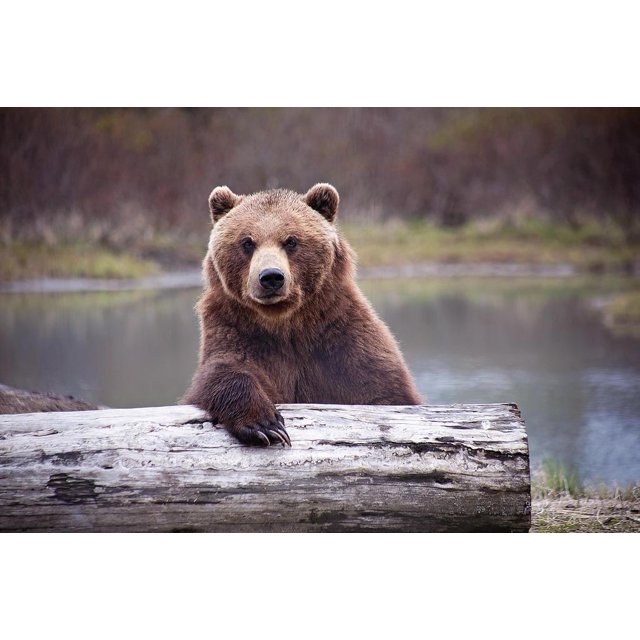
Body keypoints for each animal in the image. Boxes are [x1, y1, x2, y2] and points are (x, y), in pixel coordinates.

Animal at [182, 183, 422, 446]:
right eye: (247, 242)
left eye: (291, 241)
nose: (271, 277)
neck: (286, 323)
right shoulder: (235, 331)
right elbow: (224, 371)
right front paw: (265, 426)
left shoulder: (342, 339)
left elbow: (384, 390)